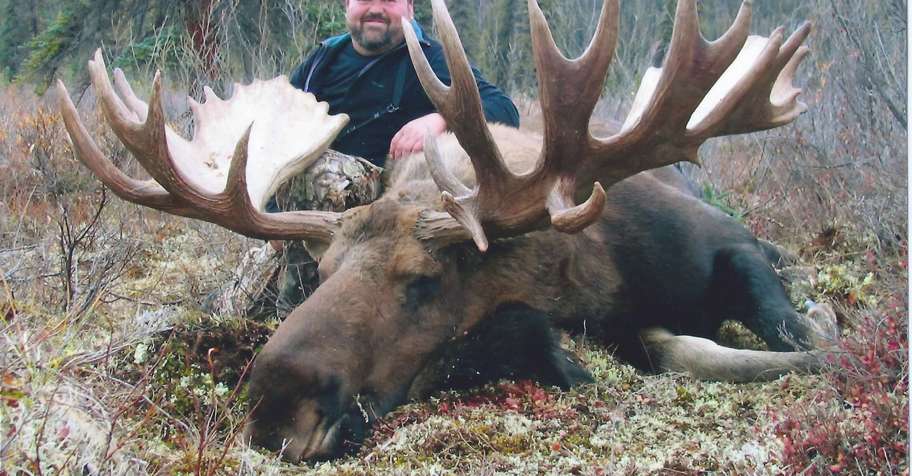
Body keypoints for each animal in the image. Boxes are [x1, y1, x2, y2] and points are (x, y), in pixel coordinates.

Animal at [57, 0, 835, 463]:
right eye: (322, 272)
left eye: (422, 282)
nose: (278, 405)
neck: (590, 276)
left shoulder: (723, 242)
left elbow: (786, 329)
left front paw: (821, 336)